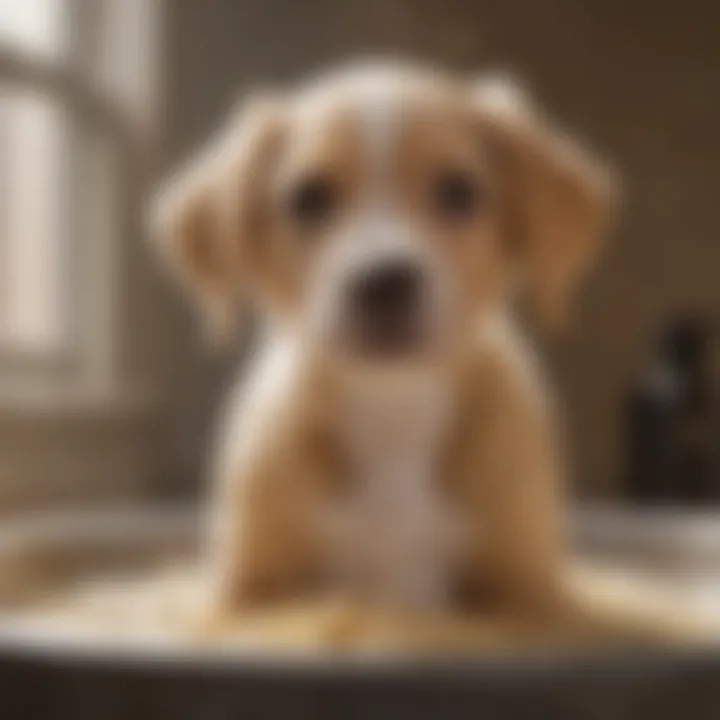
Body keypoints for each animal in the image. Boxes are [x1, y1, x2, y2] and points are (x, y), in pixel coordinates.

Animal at [153, 60, 612, 624]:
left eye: (459, 191)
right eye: (308, 197)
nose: (384, 281)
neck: (391, 403)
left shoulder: (525, 593)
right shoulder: (245, 591)